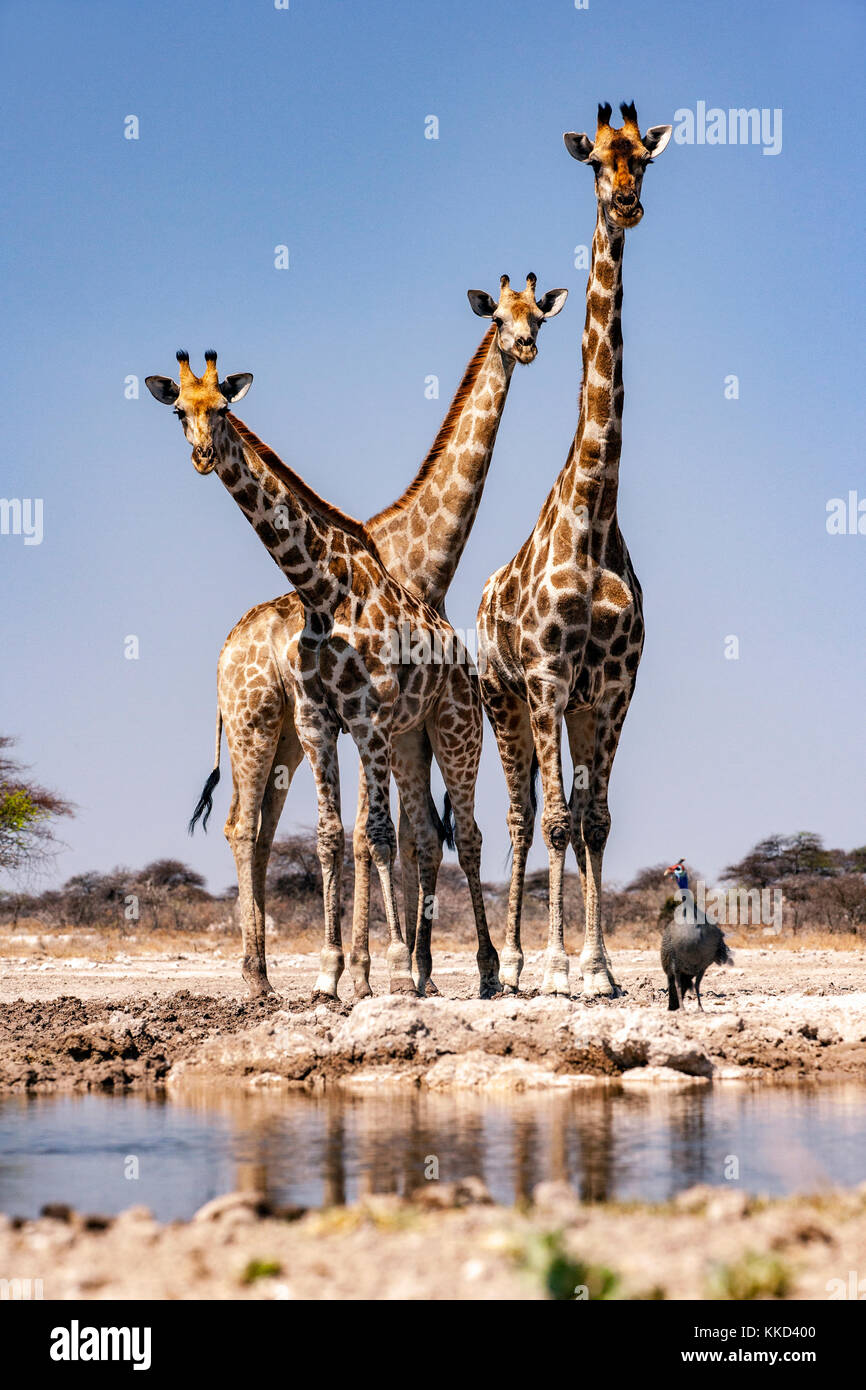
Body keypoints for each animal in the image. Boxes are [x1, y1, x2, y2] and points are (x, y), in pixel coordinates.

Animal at [146, 351, 498, 1001]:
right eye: (180, 410)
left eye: (223, 407)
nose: (203, 455)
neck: (324, 591)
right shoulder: (317, 722)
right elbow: (331, 836)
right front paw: (330, 973)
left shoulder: (367, 720)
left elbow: (375, 835)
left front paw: (390, 969)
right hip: (331, 735)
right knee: (262, 828)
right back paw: (263, 975)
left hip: (455, 729)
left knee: (468, 833)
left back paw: (488, 971)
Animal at [190, 276, 567, 998]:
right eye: (501, 318)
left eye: (537, 316)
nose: (527, 347)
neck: (427, 556)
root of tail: (220, 652)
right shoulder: (381, 722)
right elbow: (377, 836)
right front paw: (379, 968)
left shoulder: (395, 725)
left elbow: (403, 835)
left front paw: (398, 968)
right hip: (256, 723)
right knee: (243, 825)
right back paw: (259, 977)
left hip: (285, 736)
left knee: (258, 829)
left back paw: (264, 973)